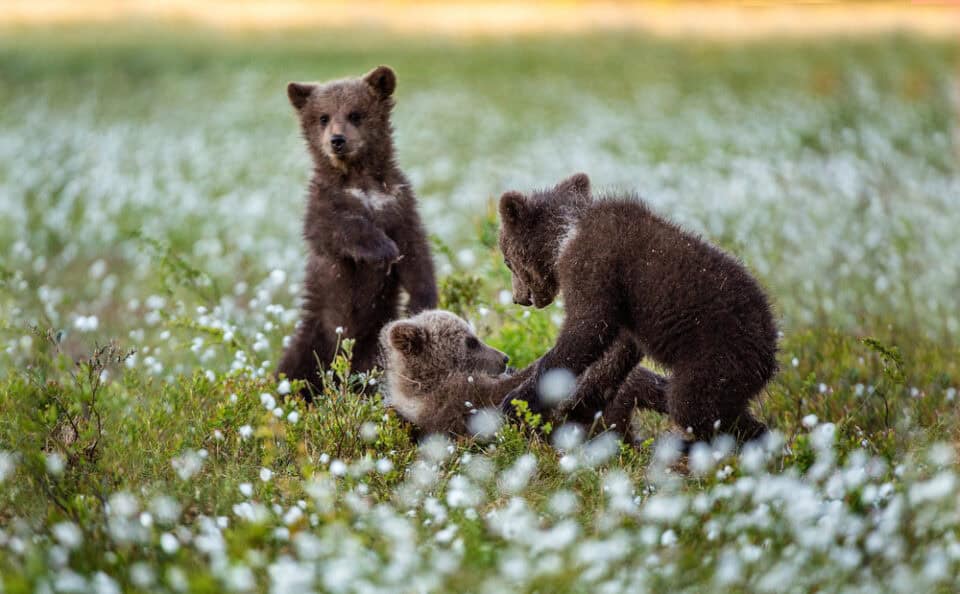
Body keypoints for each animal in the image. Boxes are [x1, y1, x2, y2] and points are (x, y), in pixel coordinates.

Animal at [277, 66, 437, 398]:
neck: (359, 178)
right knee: (292, 368)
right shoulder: (324, 202)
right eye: (323, 117)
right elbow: (335, 229)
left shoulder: (400, 203)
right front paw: (382, 249)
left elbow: (416, 255)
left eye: (355, 114)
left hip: (374, 343)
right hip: (314, 333)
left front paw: (420, 302)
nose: (337, 140)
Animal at [497, 173, 778, 445]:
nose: (518, 299)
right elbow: (617, 350)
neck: (566, 234)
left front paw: (516, 401)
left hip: (719, 353)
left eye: (507, 261)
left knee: (695, 406)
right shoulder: (623, 306)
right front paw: (580, 403)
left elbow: (586, 329)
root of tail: (772, 350)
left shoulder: (593, 265)